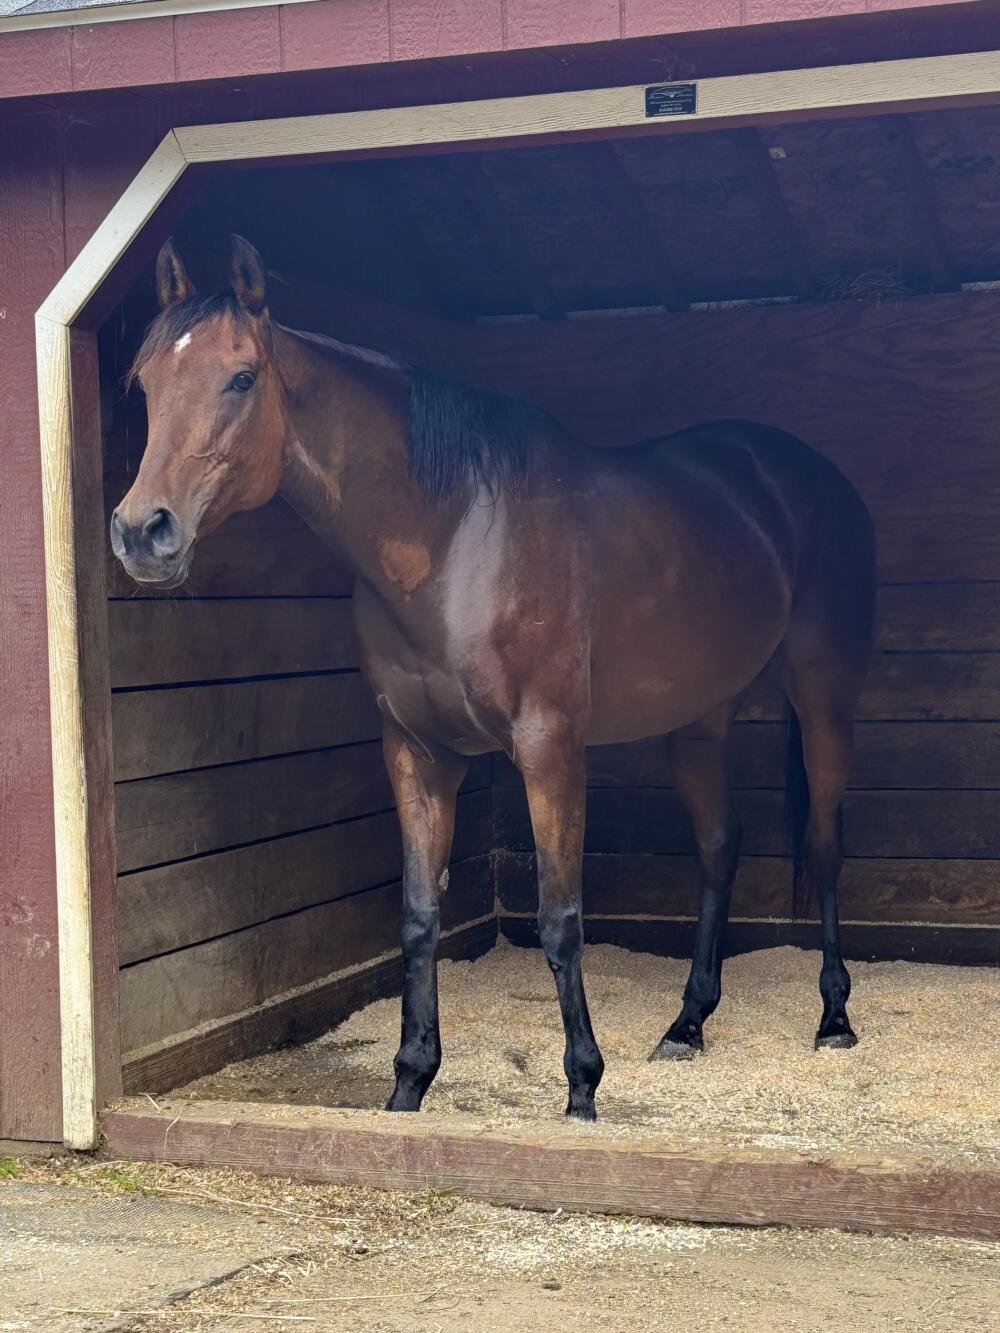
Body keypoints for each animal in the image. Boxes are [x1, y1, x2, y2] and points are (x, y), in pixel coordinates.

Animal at [111, 235, 876, 1121]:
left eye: (241, 378)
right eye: (144, 382)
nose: (142, 531)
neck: (455, 537)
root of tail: (805, 475)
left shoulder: (549, 745)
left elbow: (560, 916)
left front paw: (582, 1087)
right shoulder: (416, 750)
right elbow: (418, 914)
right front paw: (409, 1081)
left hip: (823, 695)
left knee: (824, 842)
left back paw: (834, 1015)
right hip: (698, 717)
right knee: (720, 845)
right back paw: (687, 1022)